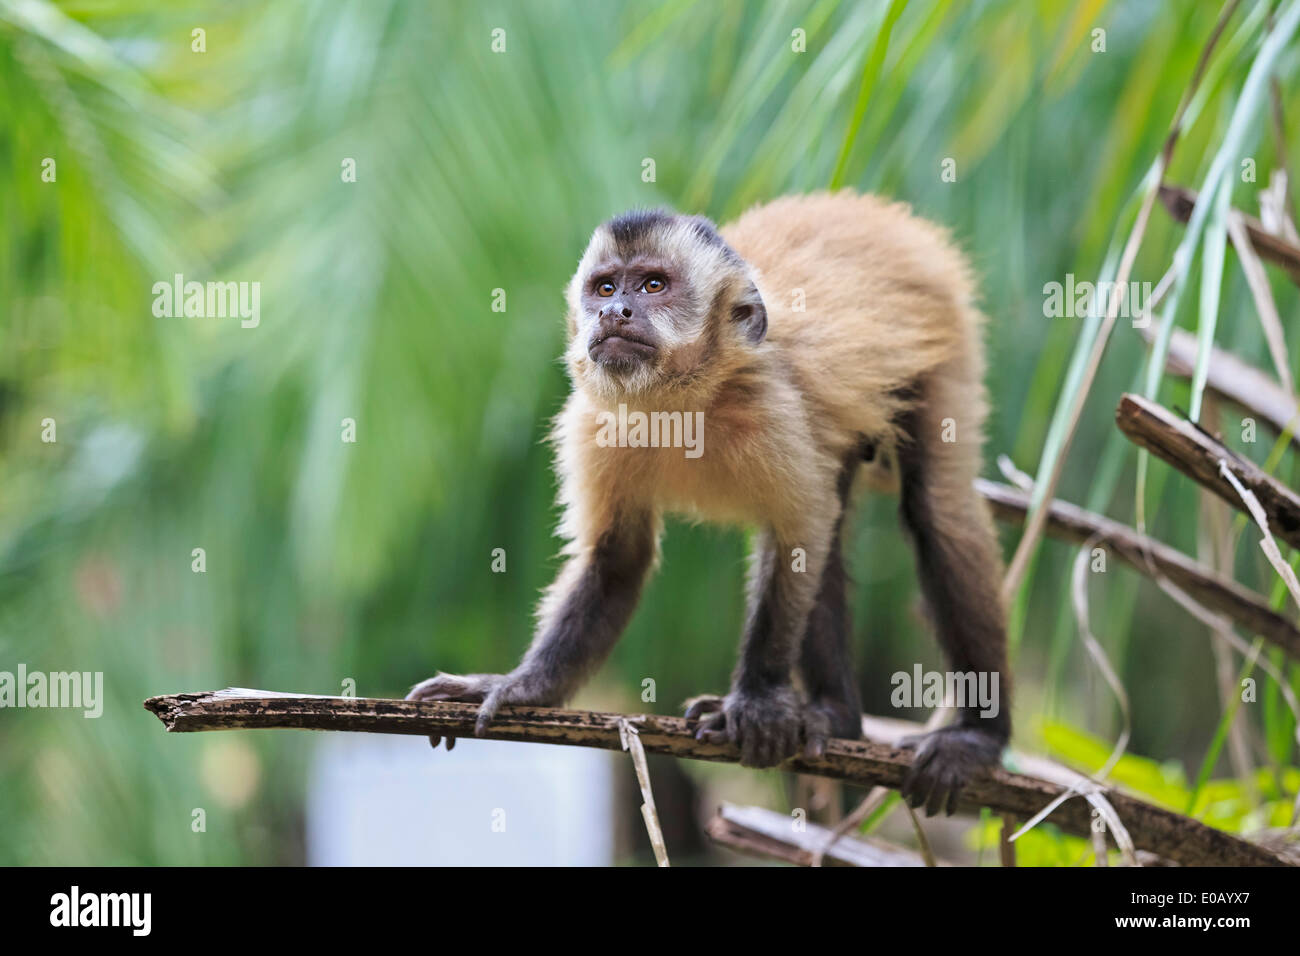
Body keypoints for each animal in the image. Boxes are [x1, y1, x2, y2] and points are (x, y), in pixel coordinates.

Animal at [408, 191, 1010, 817]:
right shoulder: (596, 425)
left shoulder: (770, 405)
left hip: (945, 325)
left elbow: (799, 536)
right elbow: (617, 561)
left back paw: (975, 739)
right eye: (604, 287)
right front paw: (522, 687)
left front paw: (759, 703)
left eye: (653, 285)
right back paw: (838, 718)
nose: (614, 313)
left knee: (936, 514)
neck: (684, 400)